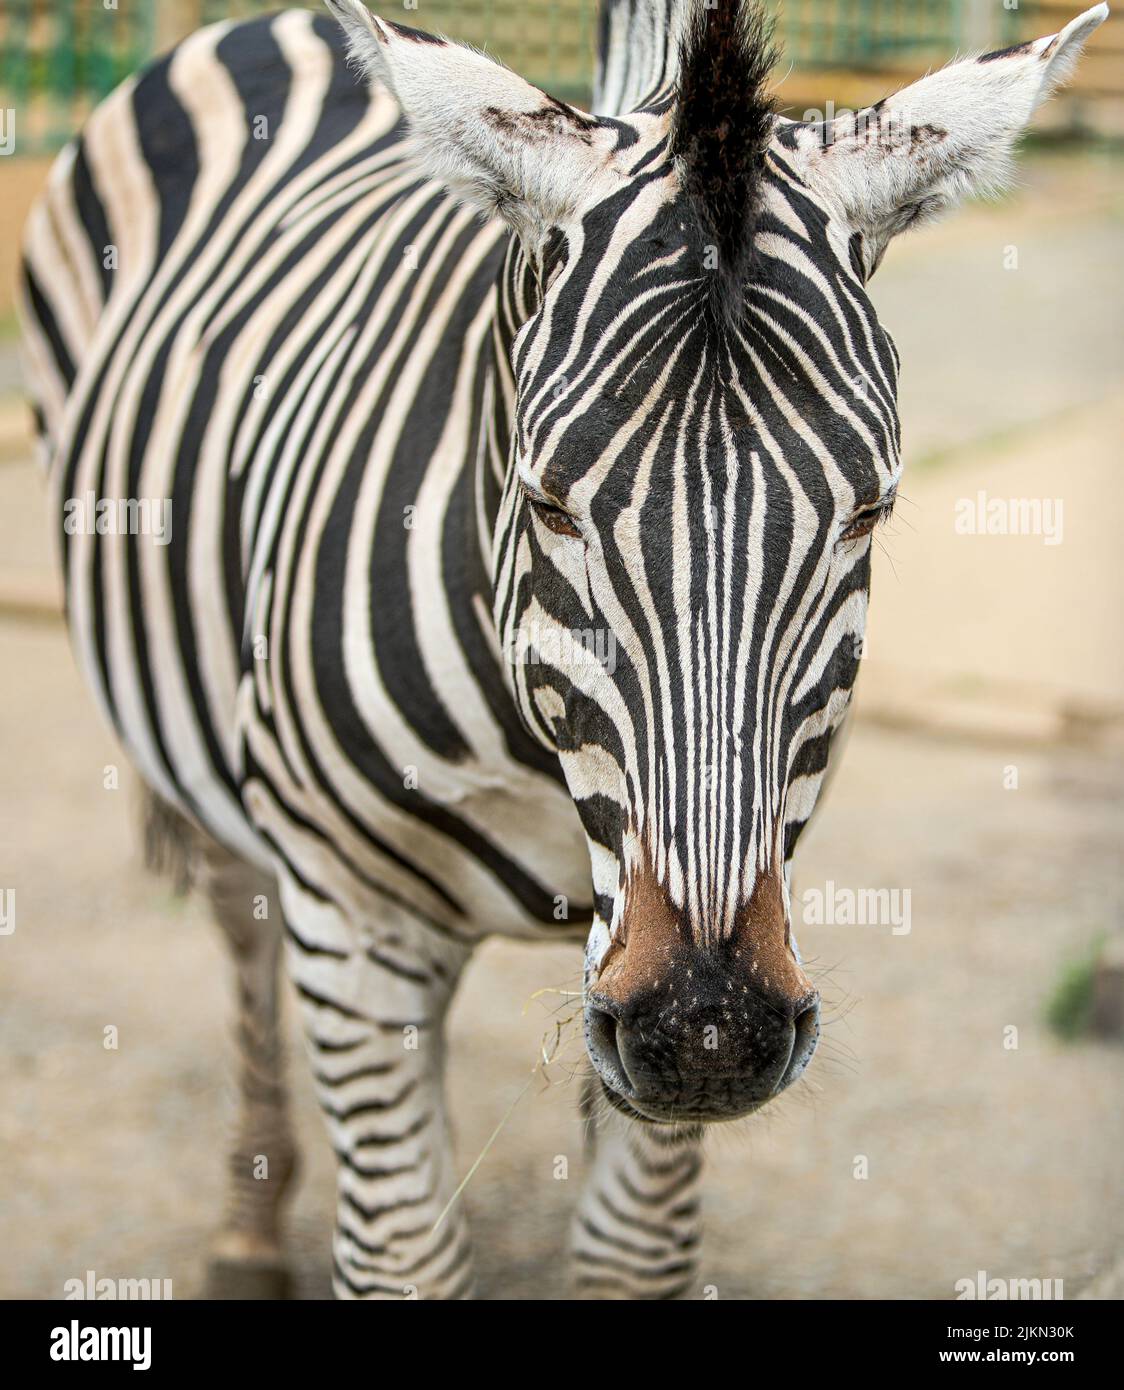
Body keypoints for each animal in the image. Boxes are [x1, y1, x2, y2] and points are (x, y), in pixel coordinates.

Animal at [18, 0, 1105, 1300]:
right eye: (546, 502)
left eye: (869, 512)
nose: (708, 1028)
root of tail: (276, 25)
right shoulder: (351, 911)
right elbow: (401, 1252)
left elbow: (629, 1245)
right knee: (241, 919)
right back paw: (248, 1224)